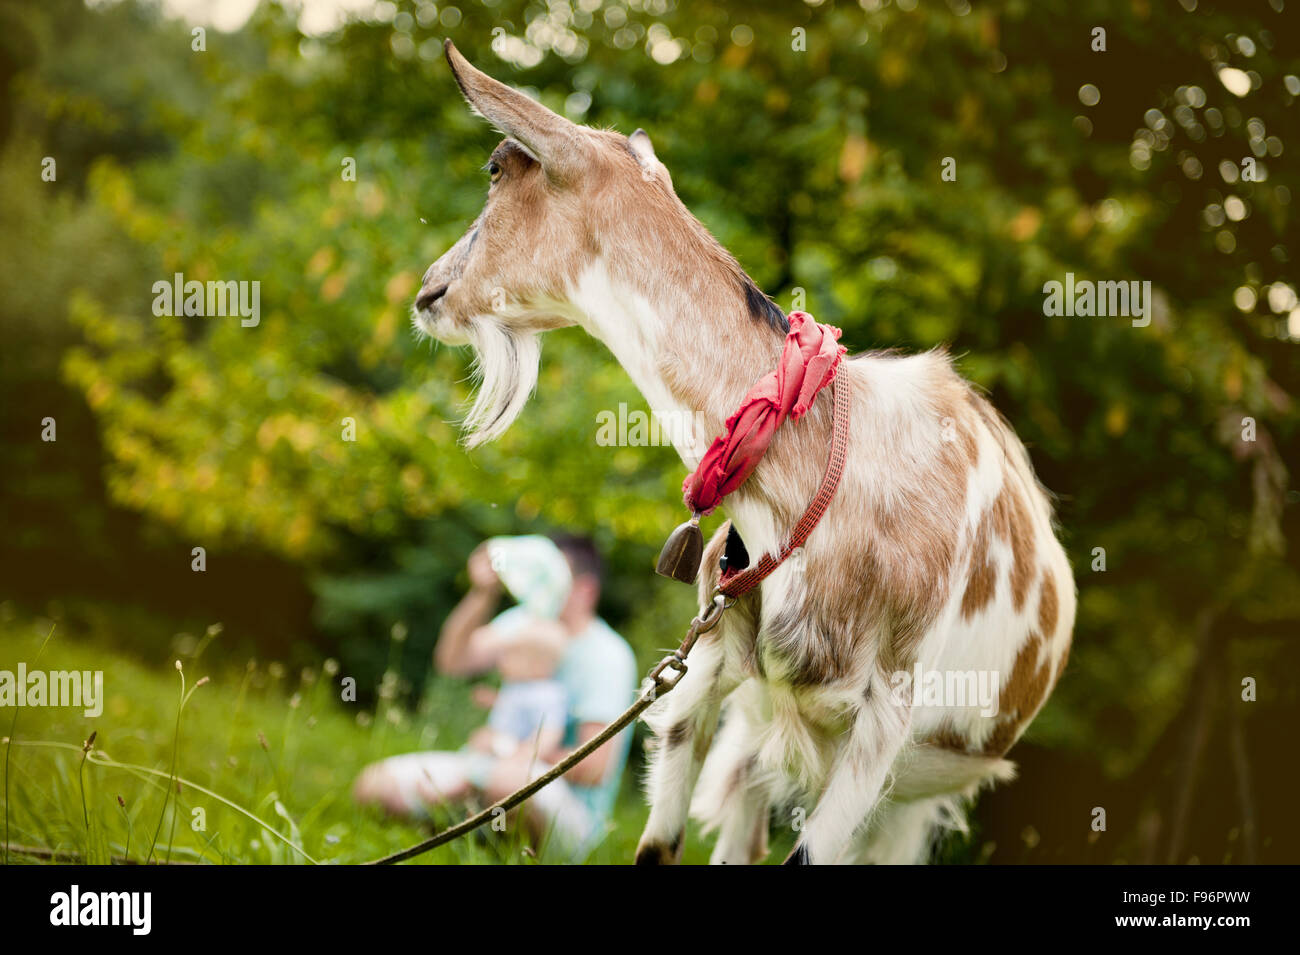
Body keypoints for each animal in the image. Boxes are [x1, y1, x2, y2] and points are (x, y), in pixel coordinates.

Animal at [415, 41, 1076, 865]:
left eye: (497, 167)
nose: (427, 289)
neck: (829, 487)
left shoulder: (881, 726)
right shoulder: (704, 671)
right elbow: (657, 845)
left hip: (910, 795)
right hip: (766, 738)